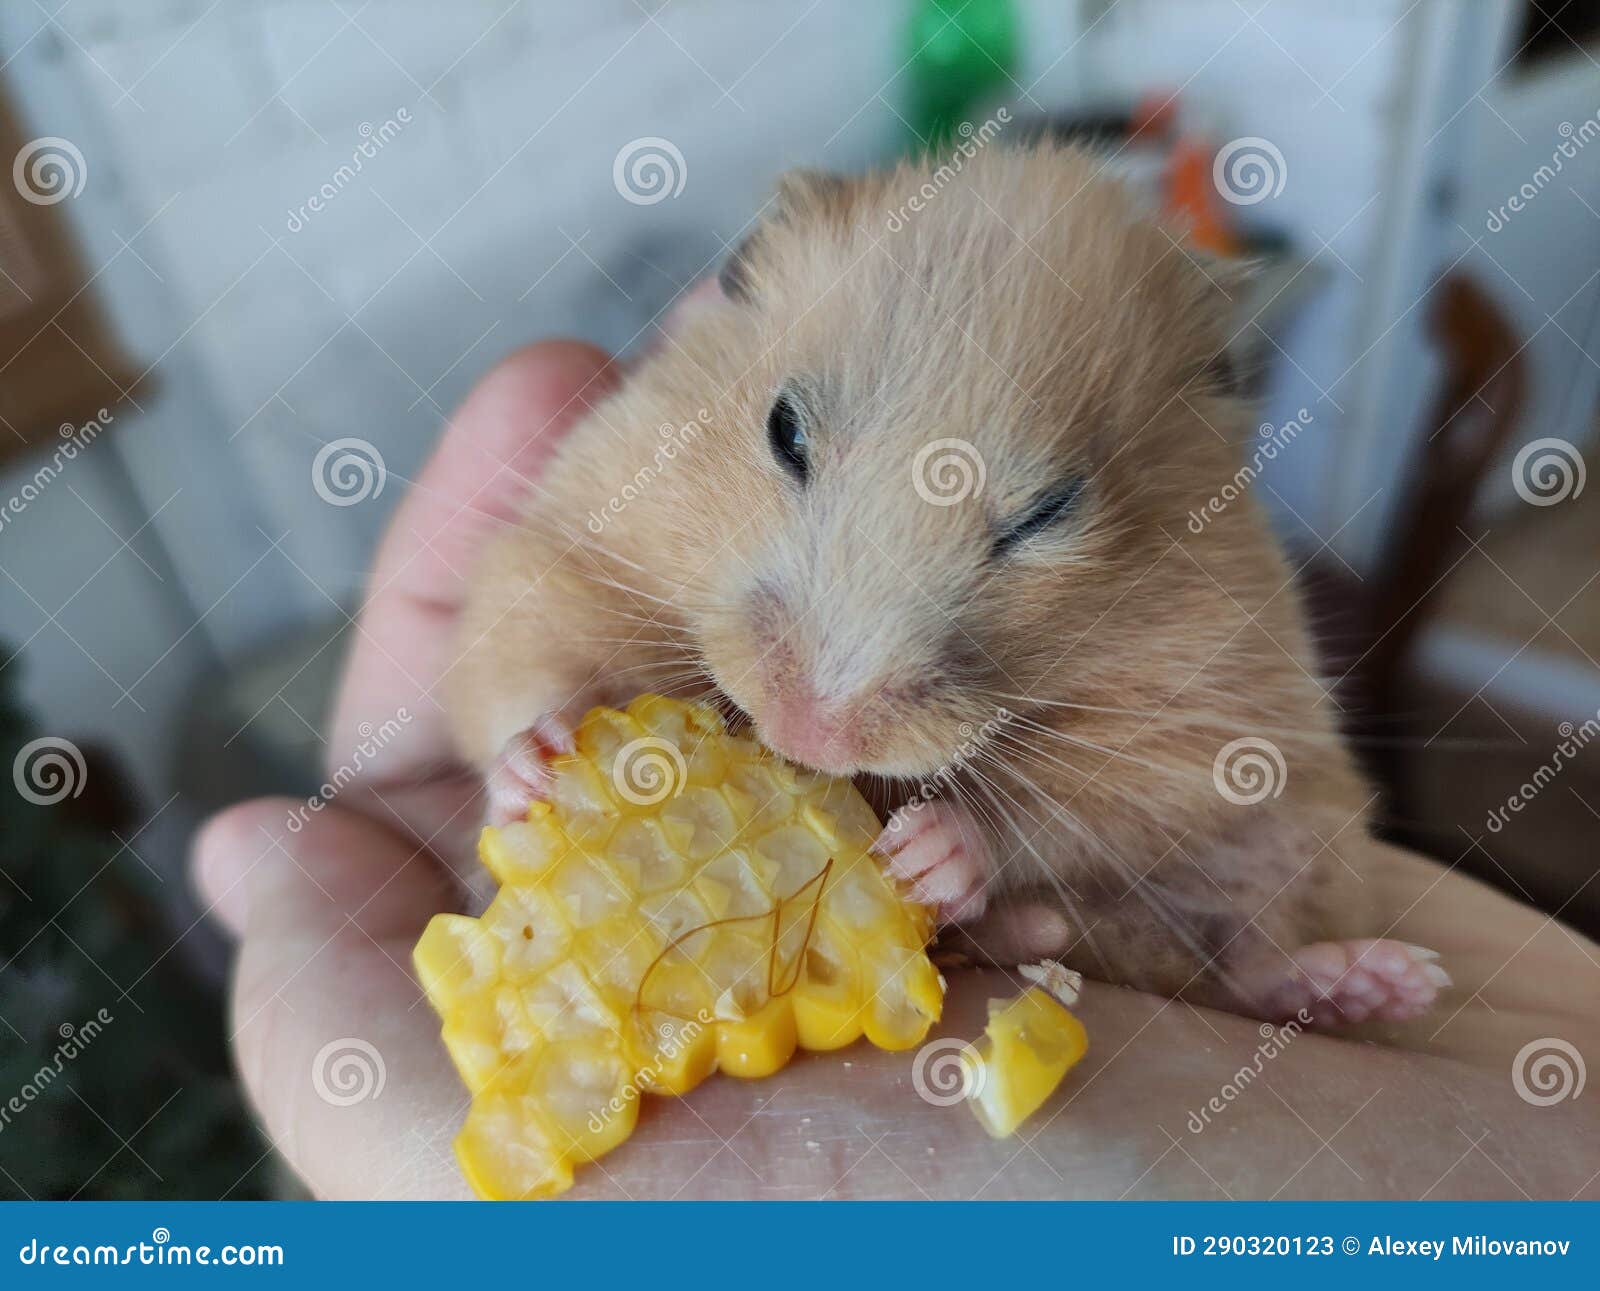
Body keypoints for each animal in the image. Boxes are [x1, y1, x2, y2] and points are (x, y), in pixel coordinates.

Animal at [445, 142, 1447, 1026]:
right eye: (783, 431)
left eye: (1049, 511)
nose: (810, 732)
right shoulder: (569, 541)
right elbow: (529, 658)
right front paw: (535, 762)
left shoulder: (1206, 721)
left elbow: (1076, 807)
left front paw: (935, 850)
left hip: (1300, 836)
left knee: (1249, 962)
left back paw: (1385, 981)